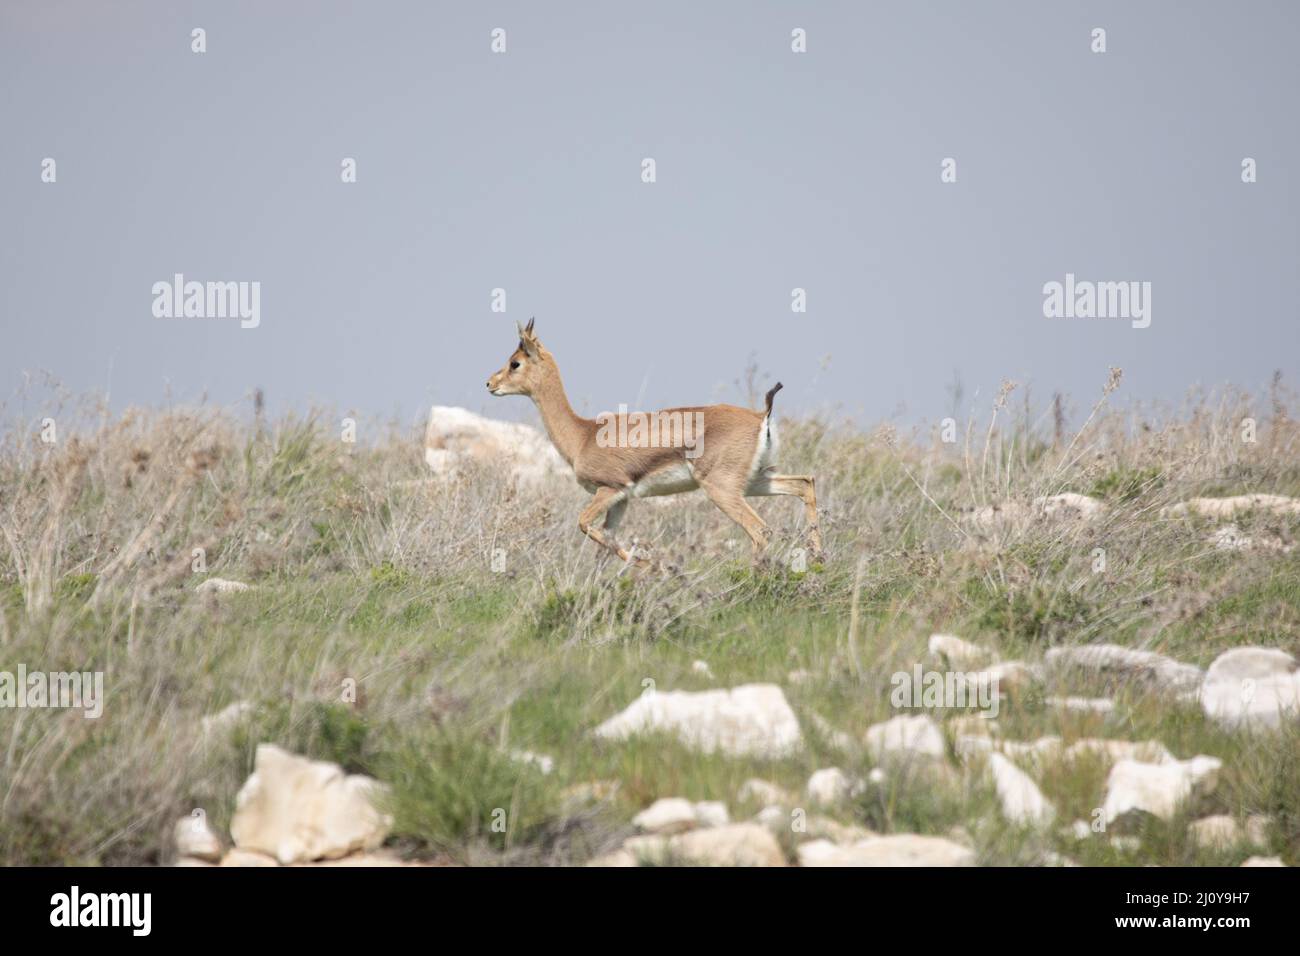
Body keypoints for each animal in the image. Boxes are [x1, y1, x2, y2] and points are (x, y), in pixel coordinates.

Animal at [486, 318, 822, 567]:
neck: (583, 435)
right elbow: (605, 542)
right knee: (804, 483)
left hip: (722, 488)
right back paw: (818, 559)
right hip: (753, 481)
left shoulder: (610, 490)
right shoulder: (621, 499)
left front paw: (650, 566)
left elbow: (586, 526)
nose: (489, 383)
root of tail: (761, 415)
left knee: (760, 529)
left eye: (515, 363)